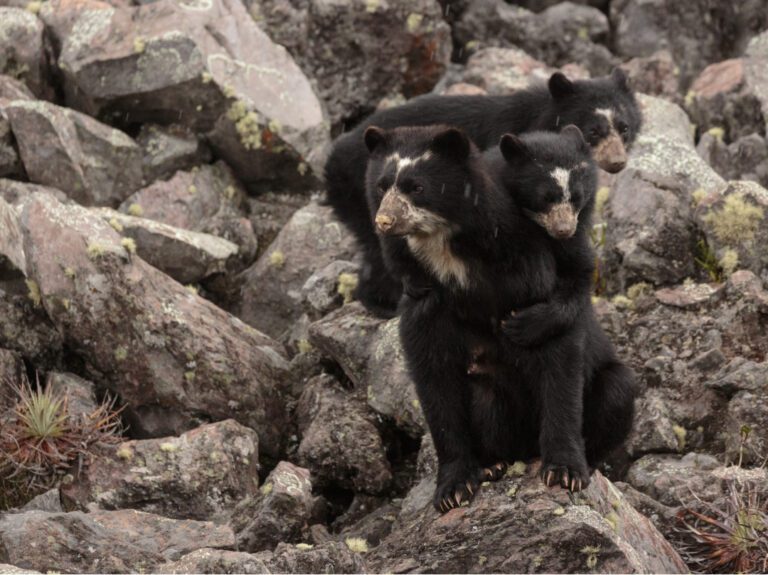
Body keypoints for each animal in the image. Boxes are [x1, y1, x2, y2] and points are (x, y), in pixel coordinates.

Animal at [325, 69, 642, 317]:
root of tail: (331, 158)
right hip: (364, 199)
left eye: (624, 128)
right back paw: (384, 303)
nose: (617, 162)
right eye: (594, 131)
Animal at [364, 124, 636, 512]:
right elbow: (433, 375)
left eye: (417, 187)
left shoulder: (529, 275)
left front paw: (565, 472)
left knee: (617, 389)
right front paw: (453, 488)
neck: (453, 261)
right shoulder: (426, 300)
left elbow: (559, 354)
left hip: (609, 382)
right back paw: (493, 463)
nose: (384, 221)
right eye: (382, 186)